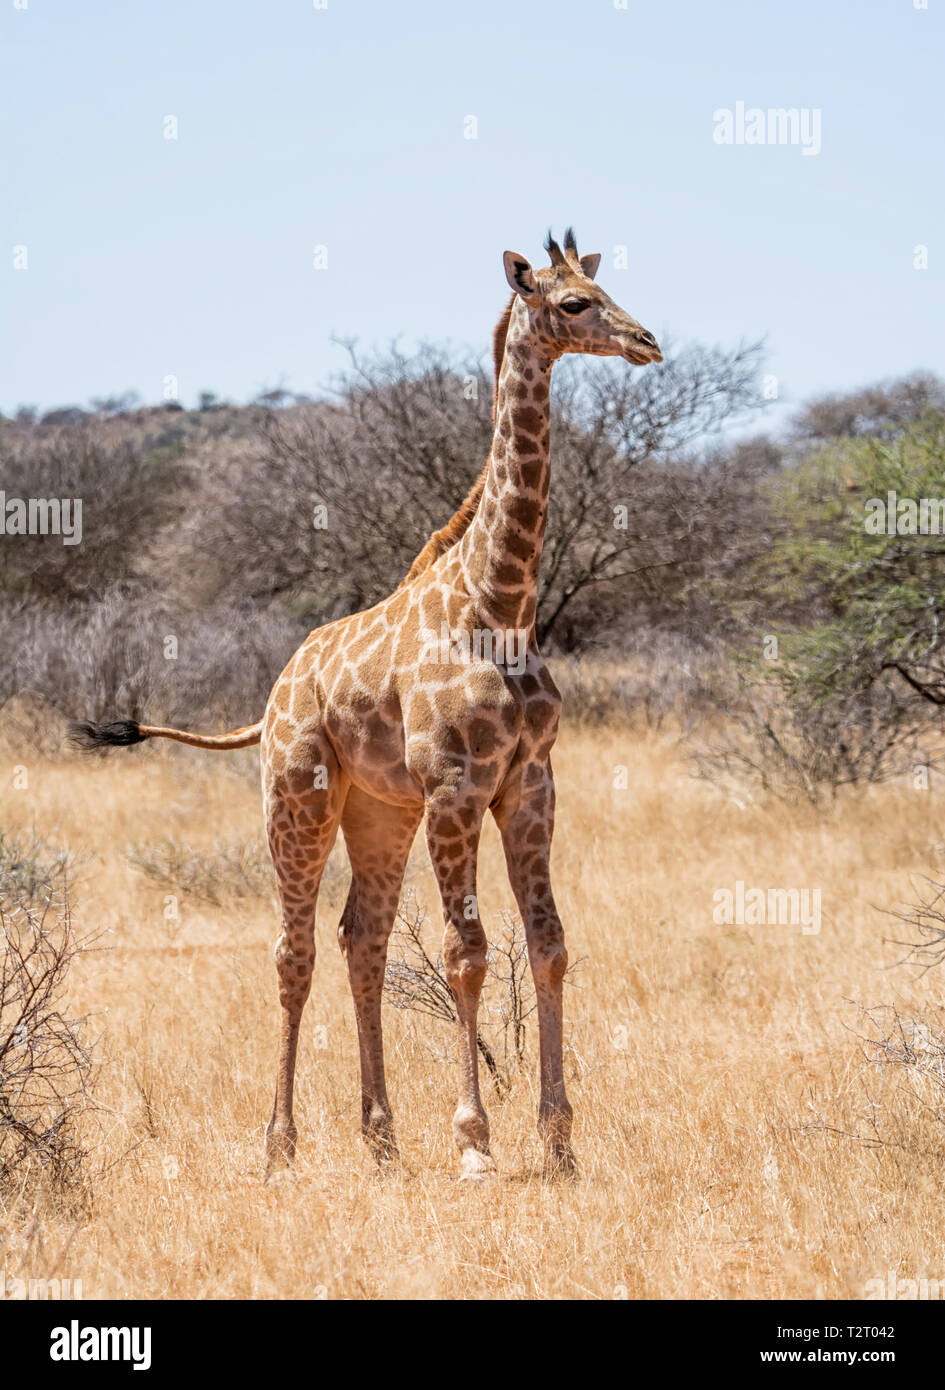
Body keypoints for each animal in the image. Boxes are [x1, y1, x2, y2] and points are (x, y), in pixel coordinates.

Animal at [71, 229, 662, 1180]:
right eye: (572, 303)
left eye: (604, 289)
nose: (647, 343)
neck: (499, 603)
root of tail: (274, 692)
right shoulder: (457, 786)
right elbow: (466, 953)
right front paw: (474, 1142)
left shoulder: (528, 784)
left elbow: (549, 945)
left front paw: (559, 1141)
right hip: (296, 797)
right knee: (295, 949)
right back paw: (279, 1144)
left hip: (378, 811)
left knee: (362, 939)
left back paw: (380, 1137)